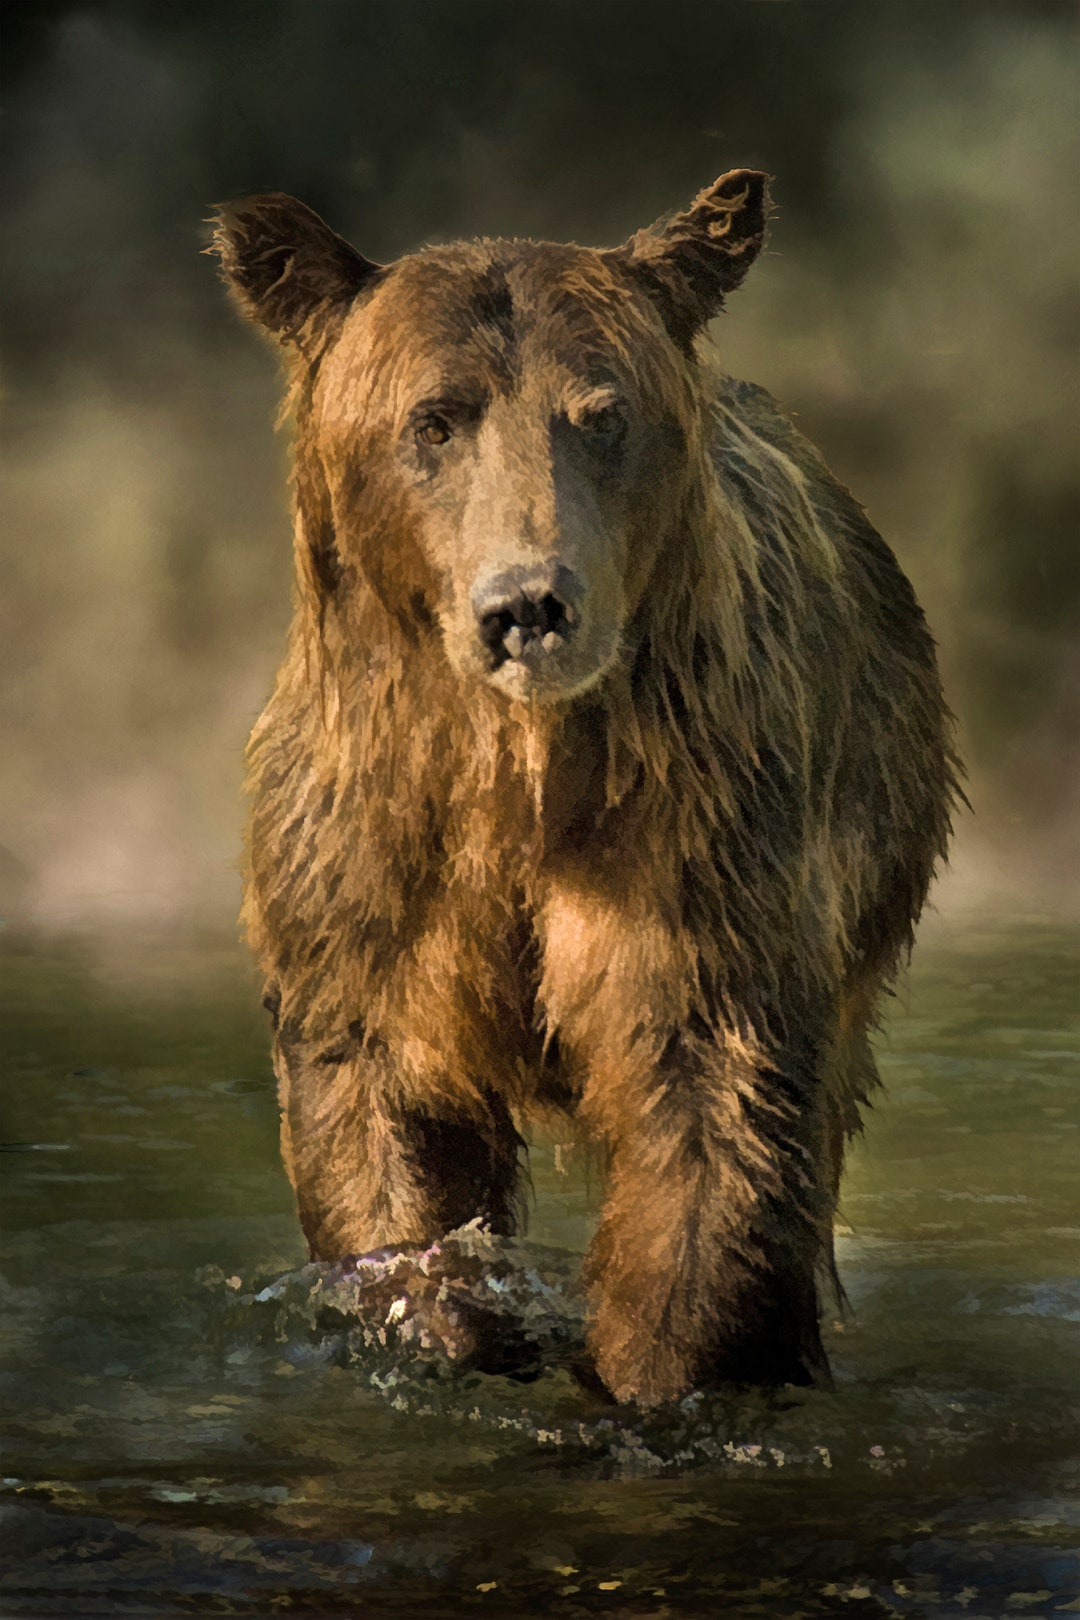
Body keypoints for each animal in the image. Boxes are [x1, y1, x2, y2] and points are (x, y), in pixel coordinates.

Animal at [212, 170, 959, 1407]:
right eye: (434, 419)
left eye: (601, 414)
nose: (529, 606)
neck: (515, 771)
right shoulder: (367, 864)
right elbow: (385, 1125)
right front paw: (450, 1330)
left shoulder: (701, 844)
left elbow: (709, 1115)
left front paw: (653, 1381)